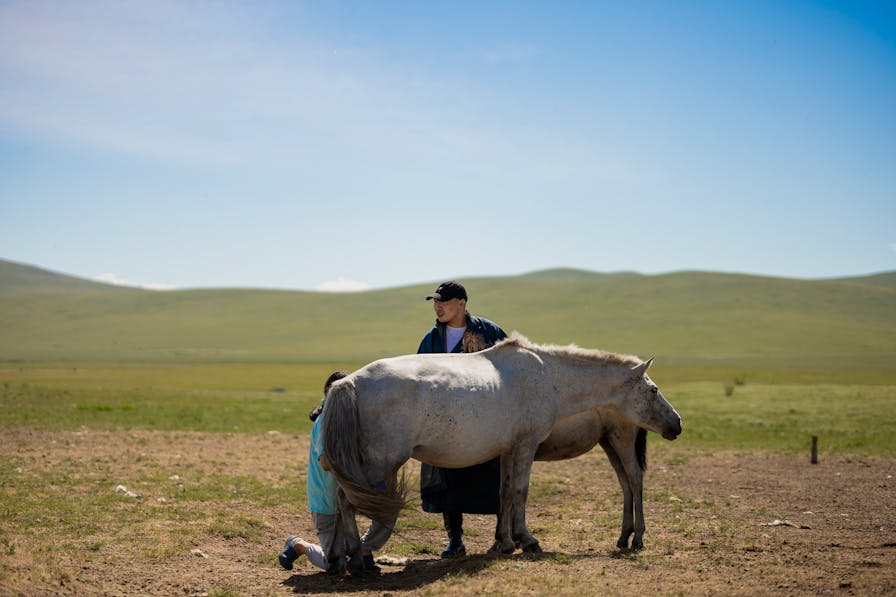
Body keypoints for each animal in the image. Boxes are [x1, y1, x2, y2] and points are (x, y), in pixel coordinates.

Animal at [320, 333, 681, 575]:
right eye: (653, 390)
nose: (676, 424)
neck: (547, 376)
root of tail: (348, 384)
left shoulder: (509, 451)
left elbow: (505, 493)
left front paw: (504, 542)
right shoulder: (525, 446)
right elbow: (520, 492)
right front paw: (527, 540)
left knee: (338, 500)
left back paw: (337, 559)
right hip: (377, 465)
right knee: (347, 503)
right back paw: (355, 559)